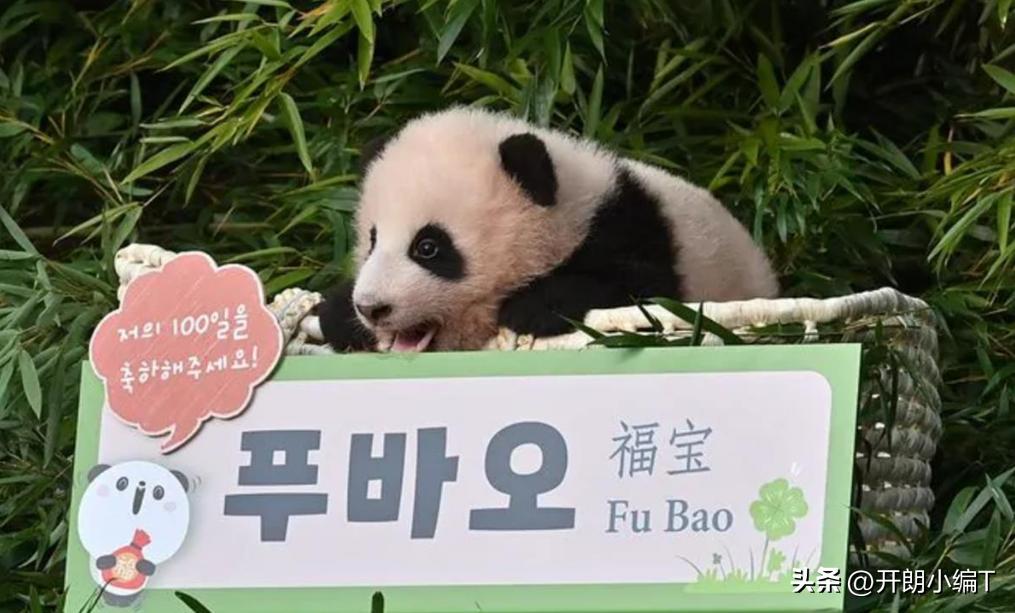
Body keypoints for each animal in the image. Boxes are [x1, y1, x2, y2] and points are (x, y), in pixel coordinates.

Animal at [317, 106, 778, 353]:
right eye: (372, 240)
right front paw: (338, 312)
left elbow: (642, 293)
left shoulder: (630, 230)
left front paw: (532, 307)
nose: (372, 307)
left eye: (428, 247)